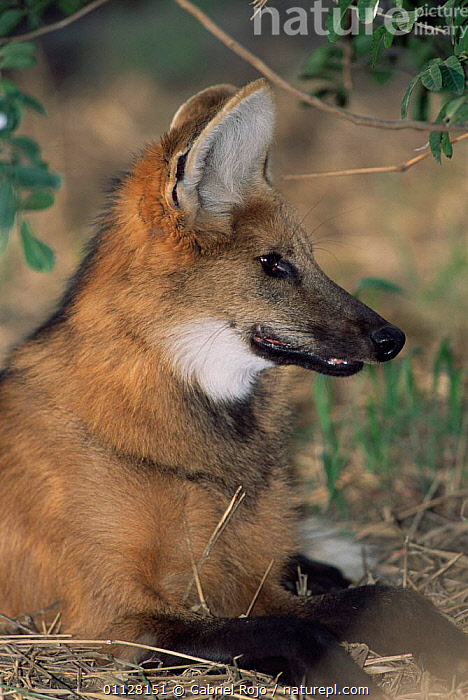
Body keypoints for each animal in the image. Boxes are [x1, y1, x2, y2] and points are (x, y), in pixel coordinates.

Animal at [0, 80, 466, 696]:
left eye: (310, 259)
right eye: (274, 264)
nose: (392, 339)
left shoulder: (246, 580)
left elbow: (393, 601)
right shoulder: (113, 621)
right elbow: (297, 634)